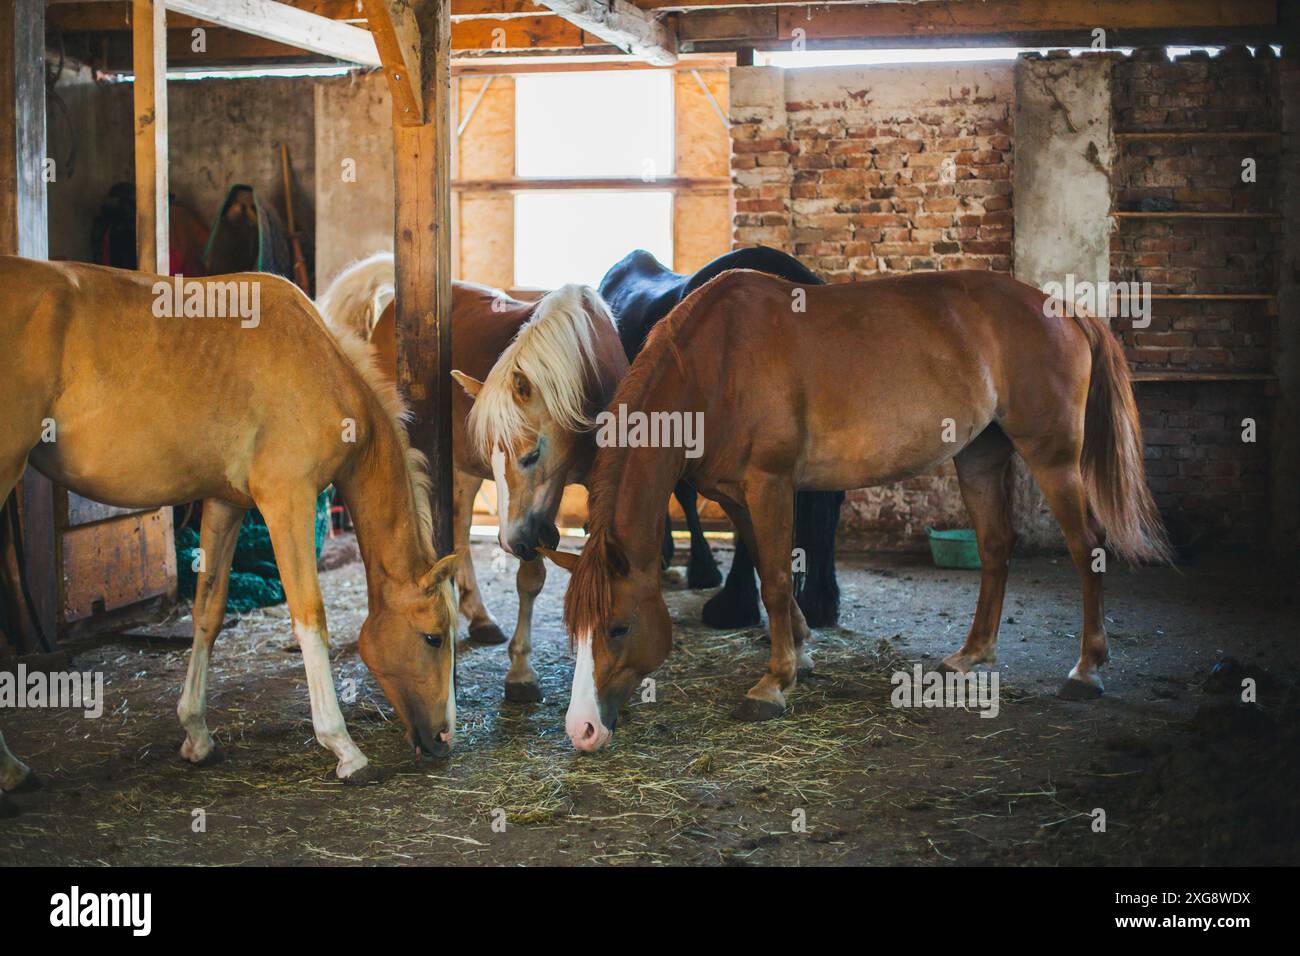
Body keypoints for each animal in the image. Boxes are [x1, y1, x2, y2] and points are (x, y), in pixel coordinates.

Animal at [0, 255, 460, 788]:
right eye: (433, 637)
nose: (444, 738)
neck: (320, 362)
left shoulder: (225, 504)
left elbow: (208, 611)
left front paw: (196, 734)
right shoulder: (287, 500)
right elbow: (309, 616)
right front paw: (342, 746)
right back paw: (11, 769)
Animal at [318, 254, 626, 703]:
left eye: (532, 454)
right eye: (498, 458)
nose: (512, 542)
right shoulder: (527, 520)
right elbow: (530, 577)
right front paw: (521, 672)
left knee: (460, 524)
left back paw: (478, 615)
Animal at [543, 269, 1172, 752]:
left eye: (619, 626)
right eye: (572, 630)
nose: (582, 730)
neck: (716, 362)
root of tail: (1065, 311)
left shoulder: (770, 484)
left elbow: (777, 580)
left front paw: (773, 683)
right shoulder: (735, 495)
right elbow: (769, 574)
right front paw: (799, 652)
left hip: (1053, 458)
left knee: (1086, 547)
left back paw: (1086, 669)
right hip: (979, 454)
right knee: (996, 545)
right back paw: (969, 655)